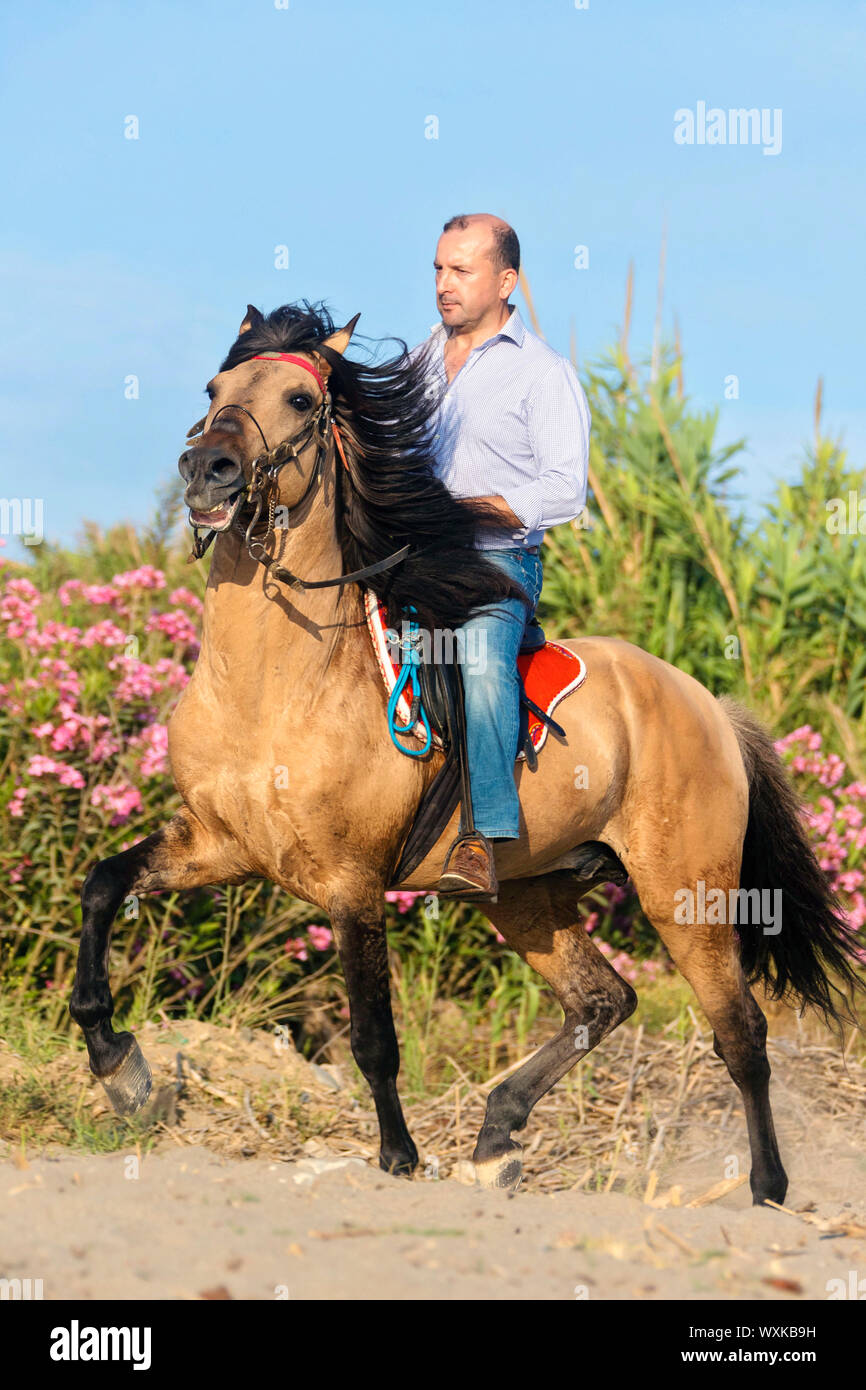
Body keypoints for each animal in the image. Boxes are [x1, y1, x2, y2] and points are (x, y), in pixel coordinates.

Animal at [69, 300, 862, 1201]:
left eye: (300, 401)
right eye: (214, 389)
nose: (209, 469)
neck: (272, 686)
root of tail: (709, 706)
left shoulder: (351, 884)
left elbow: (372, 1035)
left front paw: (398, 1157)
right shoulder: (218, 847)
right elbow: (102, 887)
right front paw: (120, 1069)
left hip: (684, 896)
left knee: (741, 1032)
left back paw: (766, 1188)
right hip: (526, 896)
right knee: (603, 1001)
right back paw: (497, 1135)